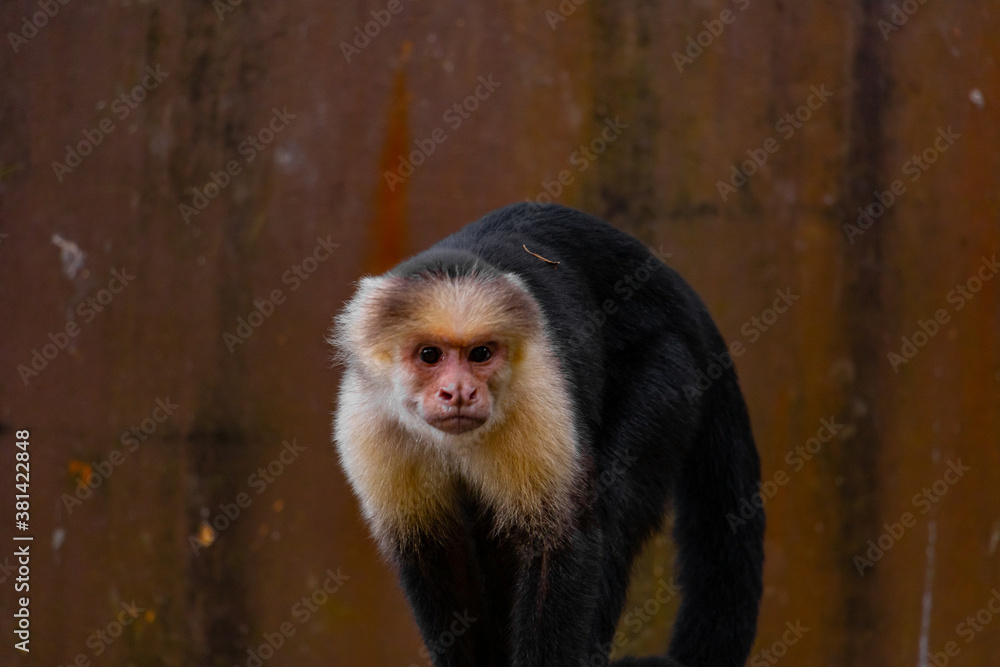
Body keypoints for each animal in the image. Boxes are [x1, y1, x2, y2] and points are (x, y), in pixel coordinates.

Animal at [331, 202, 764, 666]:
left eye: (480, 354)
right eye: (430, 355)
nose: (459, 392)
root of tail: (681, 294)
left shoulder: (539, 394)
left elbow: (558, 545)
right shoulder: (367, 420)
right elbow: (435, 556)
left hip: (669, 368)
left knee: (612, 504)